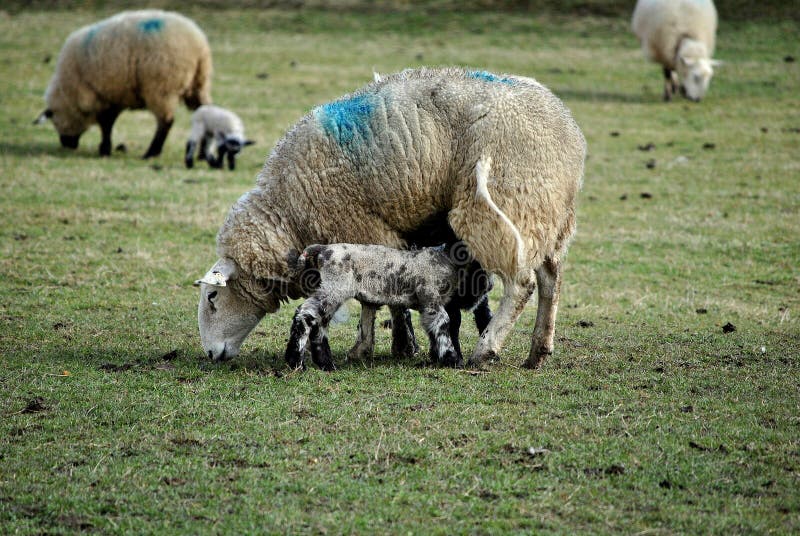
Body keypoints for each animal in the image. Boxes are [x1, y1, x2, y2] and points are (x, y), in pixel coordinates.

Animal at [34, 10, 212, 158]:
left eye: (55, 122)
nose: (67, 144)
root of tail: (199, 46)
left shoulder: (102, 95)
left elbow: (106, 124)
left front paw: (104, 149)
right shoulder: (116, 95)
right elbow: (109, 122)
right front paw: (105, 148)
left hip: (162, 87)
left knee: (166, 121)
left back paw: (151, 153)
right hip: (198, 85)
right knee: (206, 112)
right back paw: (202, 154)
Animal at [283, 242, 493, 370]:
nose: (490, 286)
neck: (445, 260)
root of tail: (323, 250)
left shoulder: (428, 305)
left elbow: (432, 327)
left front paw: (436, 356)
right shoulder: (430, 297)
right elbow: (443, 324)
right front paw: (452, 359)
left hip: (330, 289)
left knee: (319, 323)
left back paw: (325, 364)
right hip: (335, 287)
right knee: (305, 313)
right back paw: (296, 362)